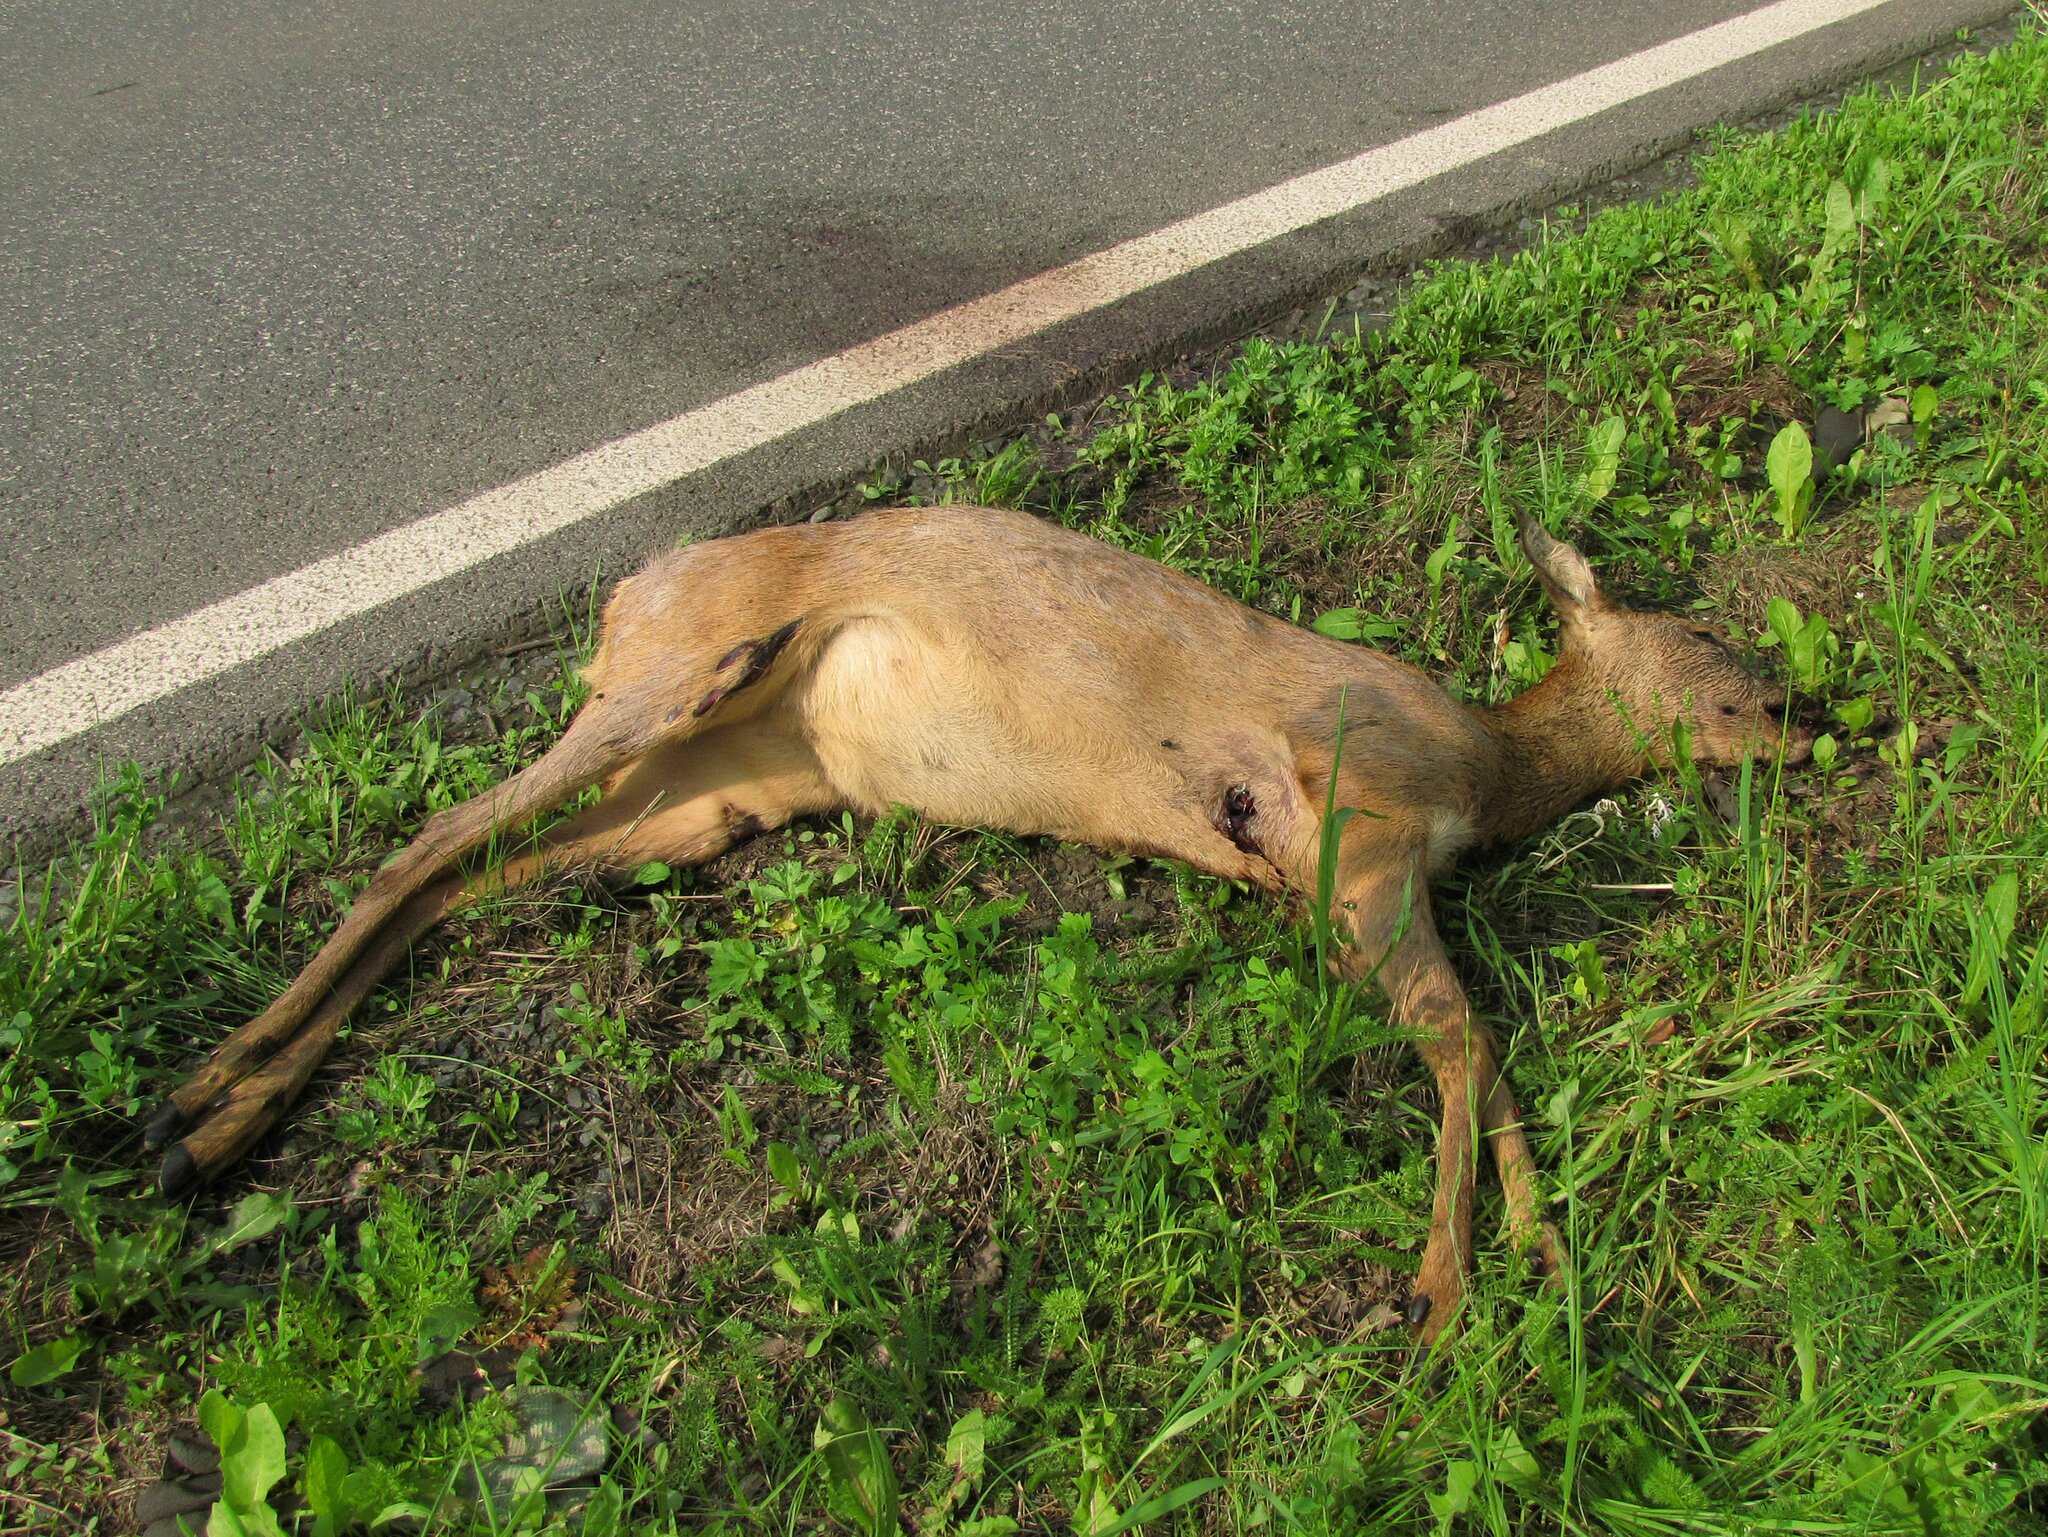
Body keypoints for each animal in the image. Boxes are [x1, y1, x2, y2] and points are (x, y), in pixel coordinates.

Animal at [142, 503, 1810, 1339]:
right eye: (1714, 648)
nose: (1810, 720)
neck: (1492, 764)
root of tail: (625, 593)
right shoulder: (1348, 812)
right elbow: (1464, 1039)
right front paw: (1454, 1280)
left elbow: (1477, 1042)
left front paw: (1525, 1244)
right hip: (681, 676)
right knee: (425, 839)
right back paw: (200, 1099)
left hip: (724, 788)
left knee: (475, 874)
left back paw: (216, 1121)